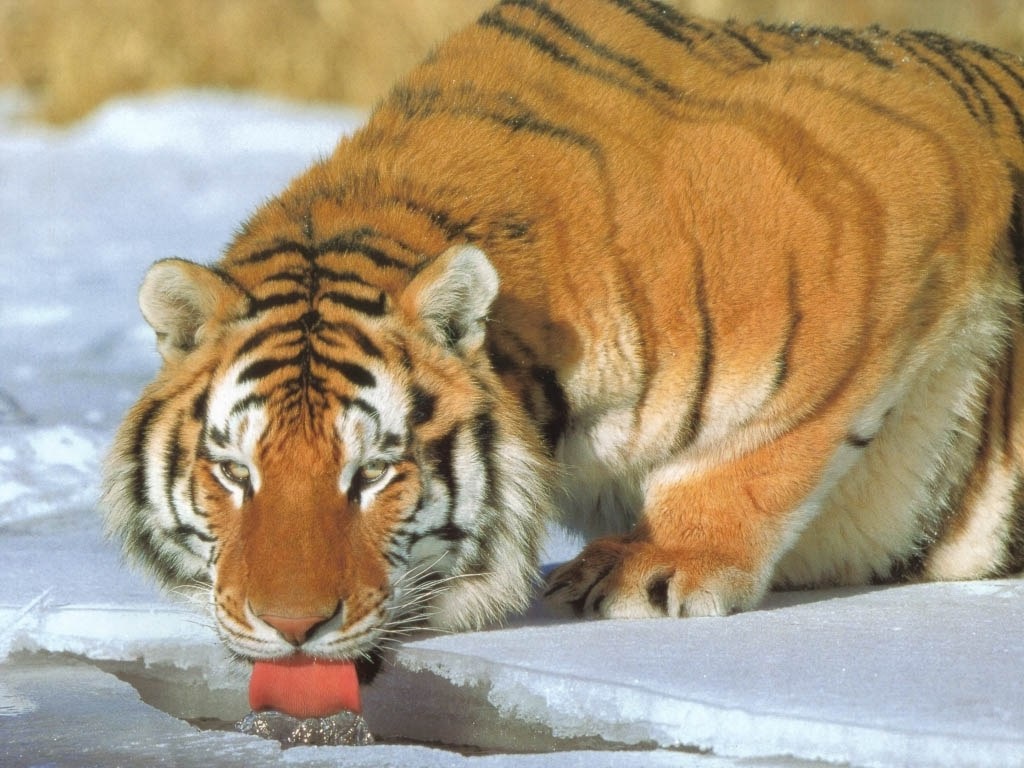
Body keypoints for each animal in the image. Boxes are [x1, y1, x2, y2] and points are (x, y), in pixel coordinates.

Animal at [103, 0, 1024, 676]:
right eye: (234, 473)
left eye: (372, 474)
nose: (291, 627)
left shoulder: (899, 189)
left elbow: (755, 446)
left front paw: (658, 563)